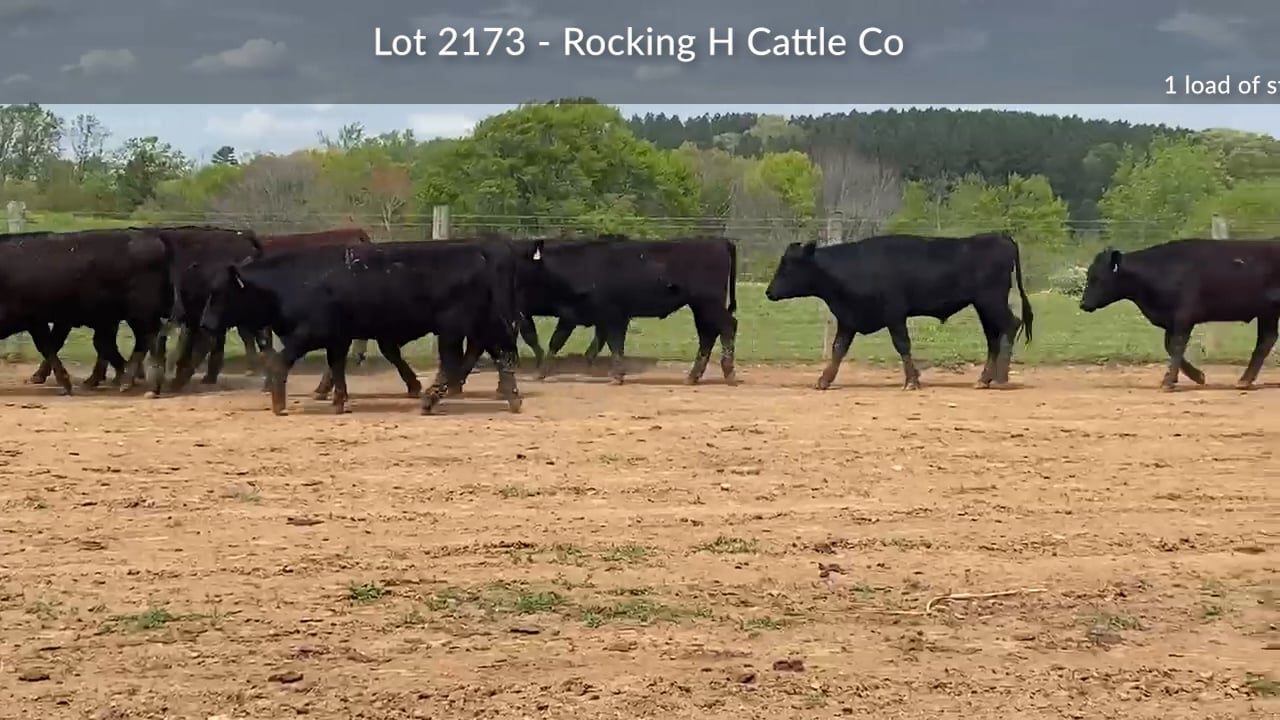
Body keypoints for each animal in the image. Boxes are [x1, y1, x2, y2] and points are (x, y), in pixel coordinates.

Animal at [0, 229, 172, 396]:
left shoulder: (37, 319)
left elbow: (48, 347)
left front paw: (65, 385)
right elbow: (52, 346)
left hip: (142, 312)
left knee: (151, 339)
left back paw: (145, 386)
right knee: (137, 341)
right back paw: (124, 380)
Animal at [198, 240, 528, 415]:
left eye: (220, 292)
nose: (205, 323)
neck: (292, 281)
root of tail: (479, 253)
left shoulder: (307, 333)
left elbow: (283, 360)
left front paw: (279, 403)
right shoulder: (337, 338)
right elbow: (337, 367)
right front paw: (339, 401)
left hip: (452, 327)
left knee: (452, 362)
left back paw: (429, 400)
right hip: (481, 324)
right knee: (499, 355)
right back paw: (512, 398)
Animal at [764, 233, 1034, 391]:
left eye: (788, 265)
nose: (769, 292)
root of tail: (999, 237)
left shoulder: (894, 315)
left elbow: (902, 345)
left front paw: (912, 380)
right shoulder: (848, 320)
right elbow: (838, 349)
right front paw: (824, 380)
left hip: (991, 301)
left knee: (1011, 325)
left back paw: (1001, 377)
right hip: (983, 306)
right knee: (993, 337)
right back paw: (985, 379)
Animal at [1079, 239, 1280, 391]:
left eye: (1099, 278)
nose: (1083, 304)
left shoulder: (1184, 317)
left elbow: (1176, 346)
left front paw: (1168, 382)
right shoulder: (1171, 321)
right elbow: (1169, 346)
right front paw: (1197, 376)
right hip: (1268, 313)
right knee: (1266, 340)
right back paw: (1245, 380)